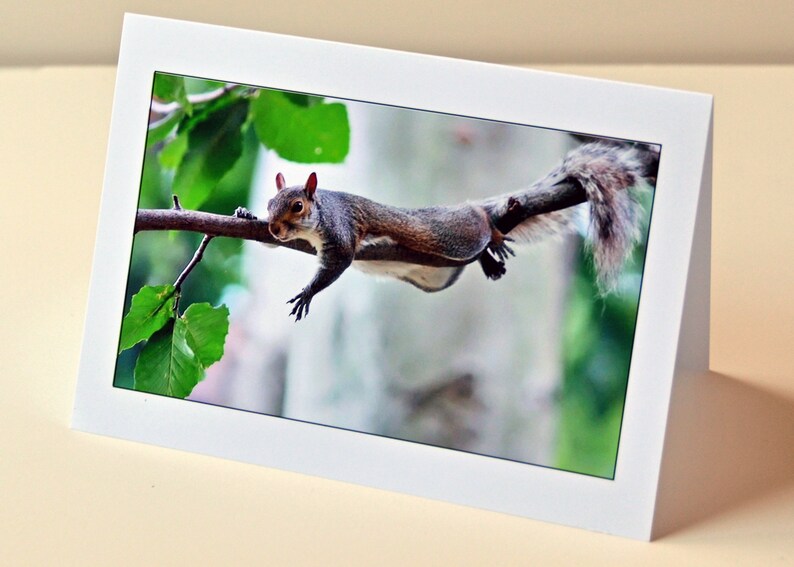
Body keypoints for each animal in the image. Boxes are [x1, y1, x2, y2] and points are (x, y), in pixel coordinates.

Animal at [259, 141, 658, 320]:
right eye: (268, 202)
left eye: (298, 206)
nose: (275, 227)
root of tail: (465, 205)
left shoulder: (339, 229)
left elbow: (339, 260)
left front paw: (308, 292)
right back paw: (489, 262)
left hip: (450, 234)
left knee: (478, 226)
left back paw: (491, 235)